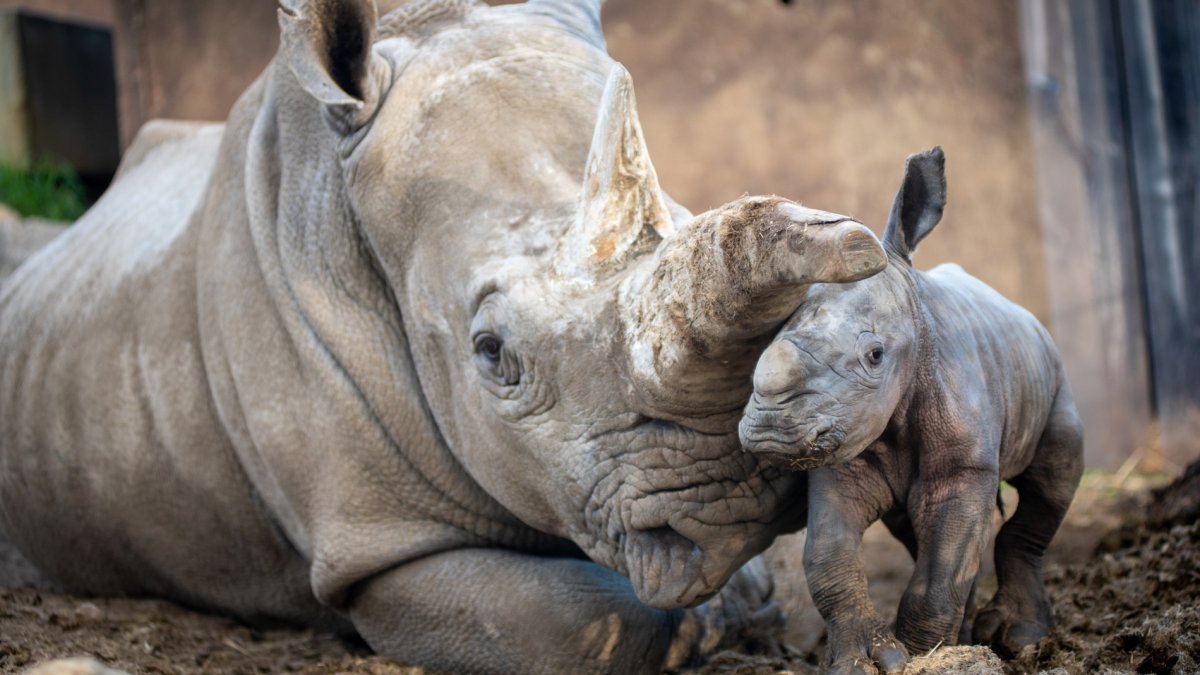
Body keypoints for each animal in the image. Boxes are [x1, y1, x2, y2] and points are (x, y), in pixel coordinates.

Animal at [0, 1, 888, 672]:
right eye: (490, 353)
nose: (732, 509)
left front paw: (747, 598)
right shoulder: (378, 545)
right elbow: (574, 621)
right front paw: (708, 621)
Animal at [739, 148, 1084, 673]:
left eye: (875, 355)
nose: (770, 432)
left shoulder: (964, 466)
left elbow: (942, 567)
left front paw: (931, 658)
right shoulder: (841, 452)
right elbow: (828, 556)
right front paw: (862, 661)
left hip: (1057, 377)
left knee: (1050, 483)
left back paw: (1019, 638)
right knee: (915, 530)